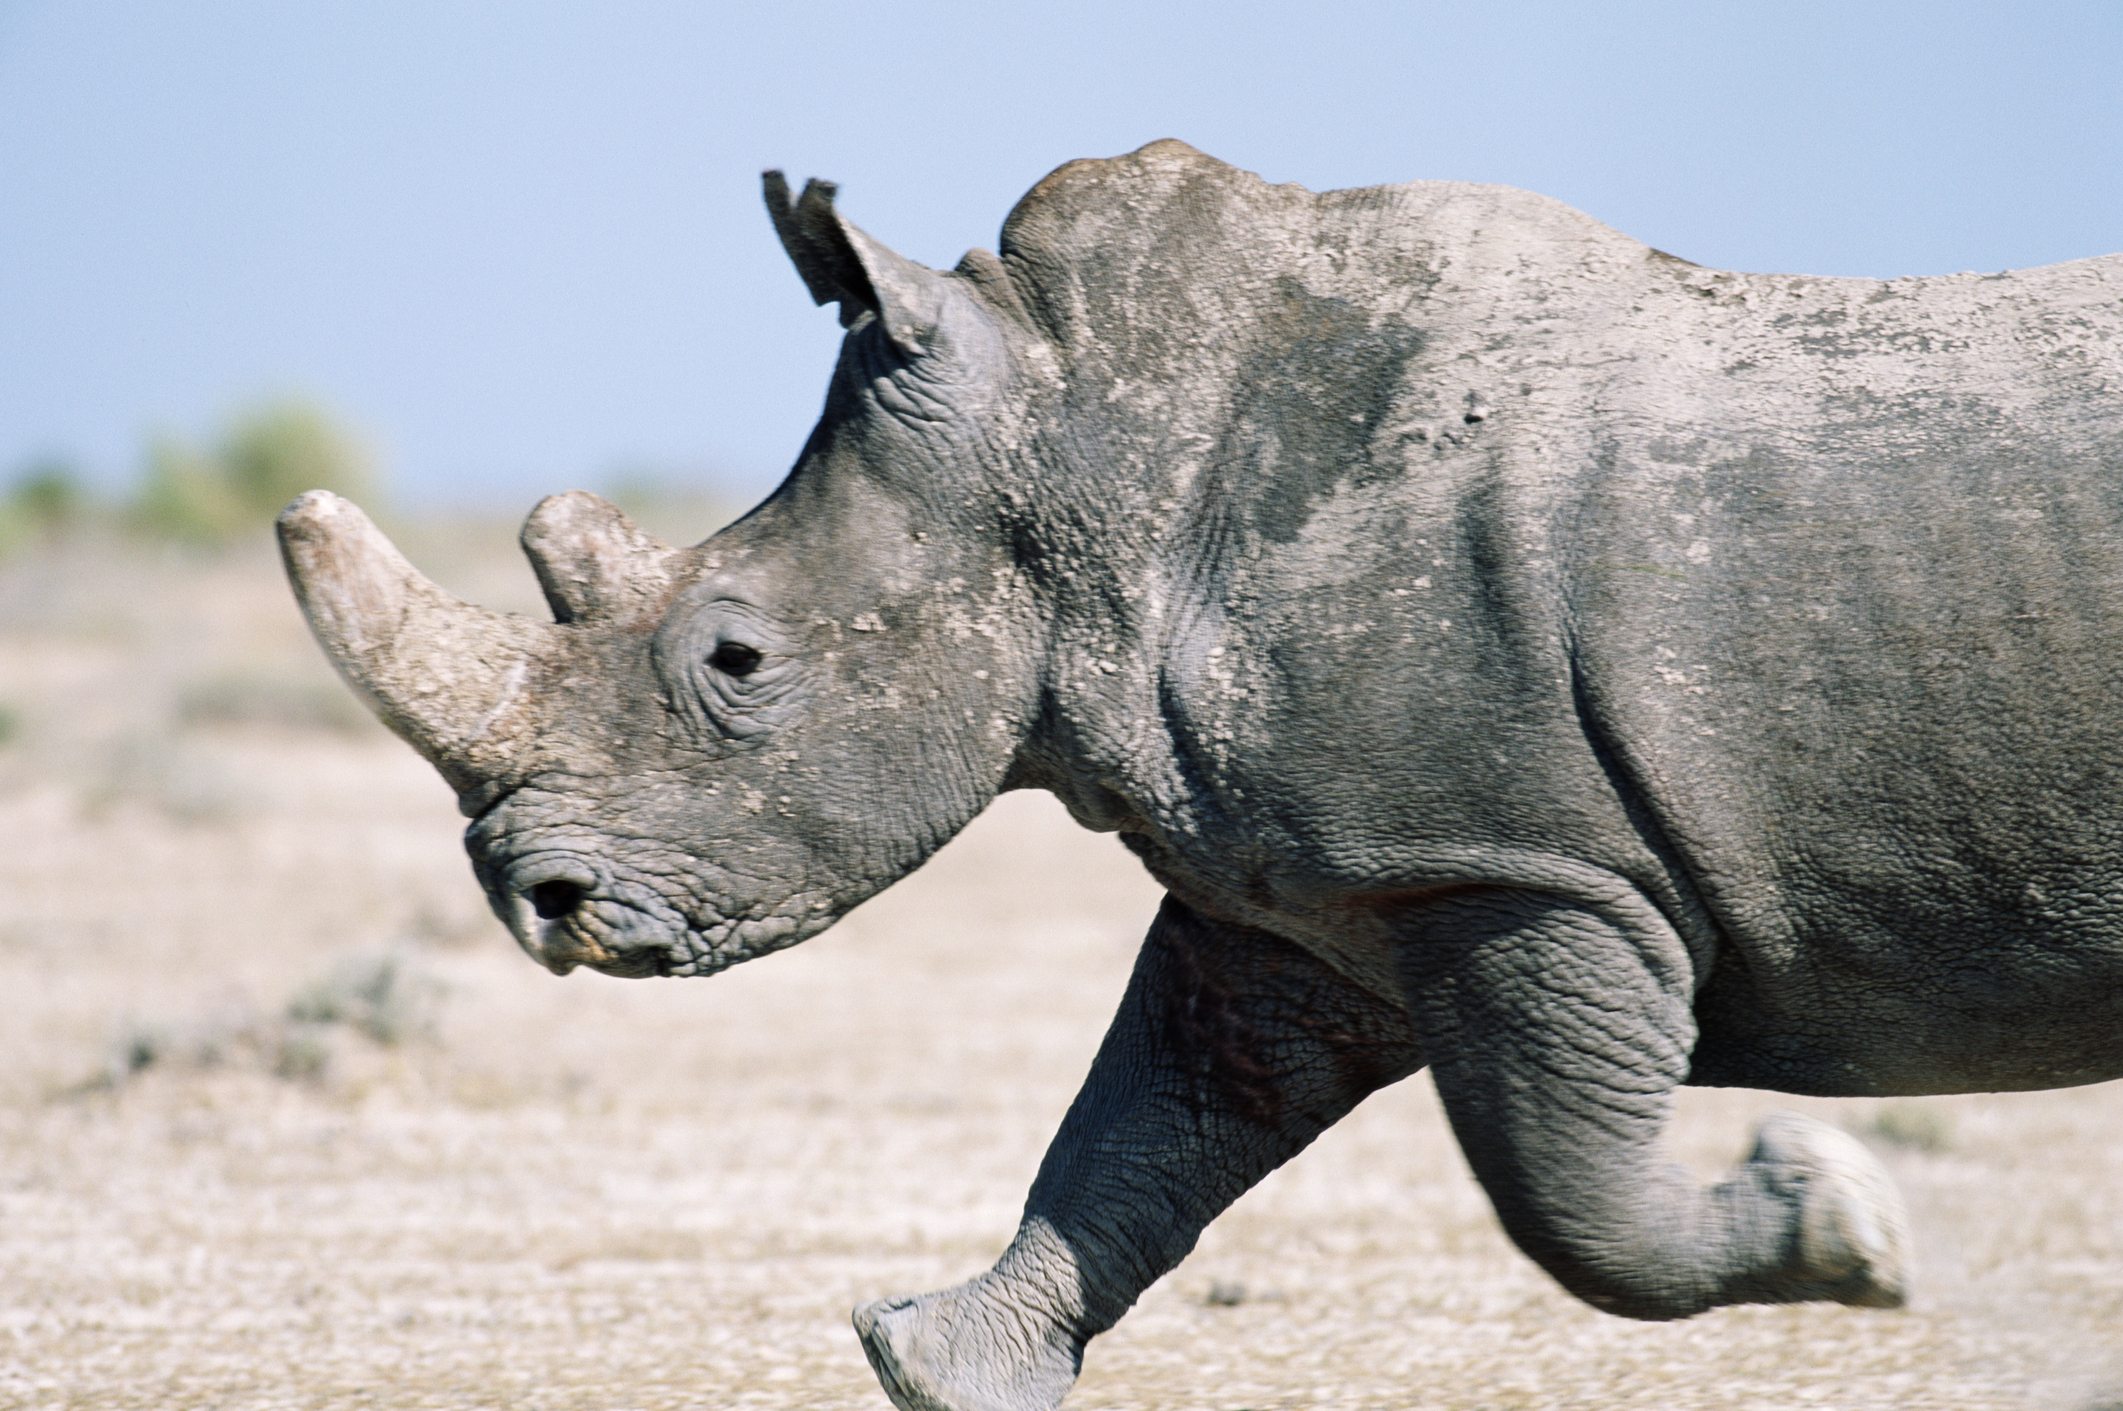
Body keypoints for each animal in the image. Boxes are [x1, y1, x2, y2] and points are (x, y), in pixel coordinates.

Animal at [279, 139, 2123, 1410]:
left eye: (732, 664)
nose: (540, 899)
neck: (1097, 447)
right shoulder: (1301, 887)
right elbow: (1145, 1125)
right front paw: (932, 1359)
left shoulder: (1514, 863)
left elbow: (1568, 1207)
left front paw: (1847, 1225)